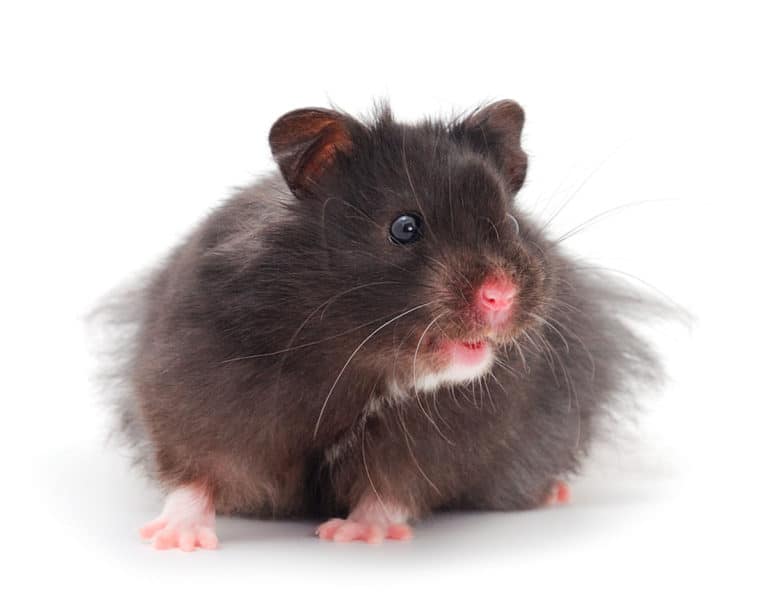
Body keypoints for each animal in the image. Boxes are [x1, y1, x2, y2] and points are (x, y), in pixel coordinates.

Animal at [106, 100, 663, 550]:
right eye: (404, 227)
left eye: (509, 224)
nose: (500, 295)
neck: (356, 361)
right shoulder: (193, 387)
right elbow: (196, 468)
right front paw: (174, 541)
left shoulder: (443, 435)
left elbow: (392, 485)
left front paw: (351, 535)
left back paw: (557, 492)